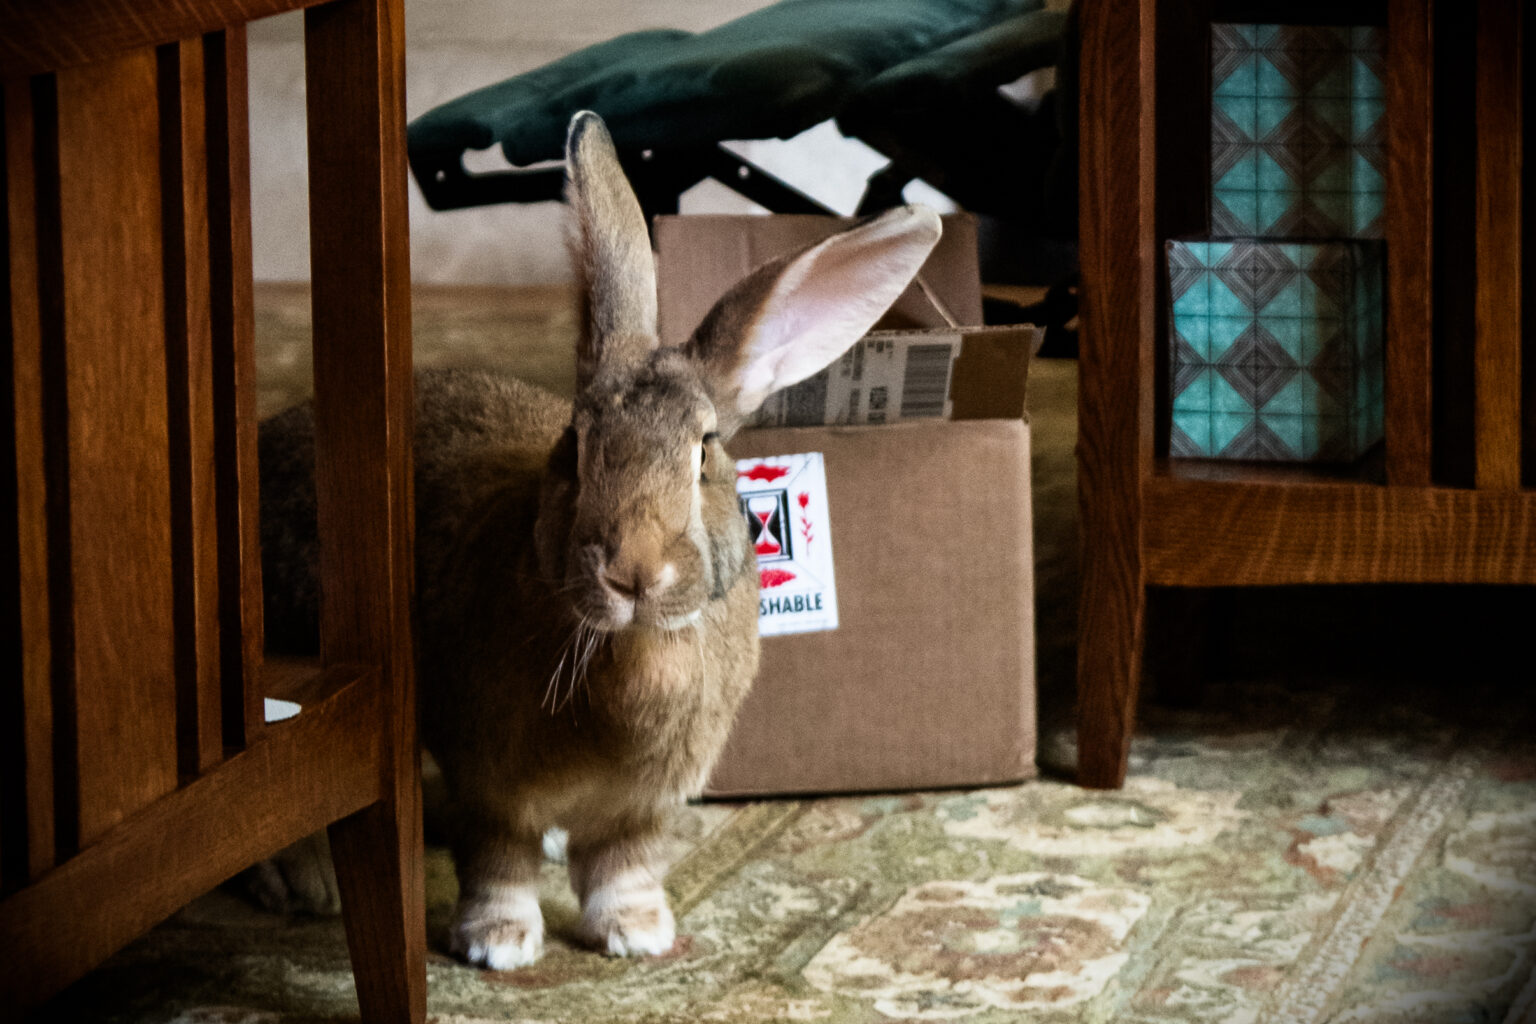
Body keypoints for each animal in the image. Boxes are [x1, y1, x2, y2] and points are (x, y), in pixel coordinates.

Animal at [256, 110, 941, 969]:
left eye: (705, 451)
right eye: (576, 446)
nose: (634, 572)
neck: (639, 647)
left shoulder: (643, 804)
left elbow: (622, 859)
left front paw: (635, 932)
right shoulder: (493, 781)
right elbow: (499, 855)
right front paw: (500, 943)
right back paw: (305, 884)